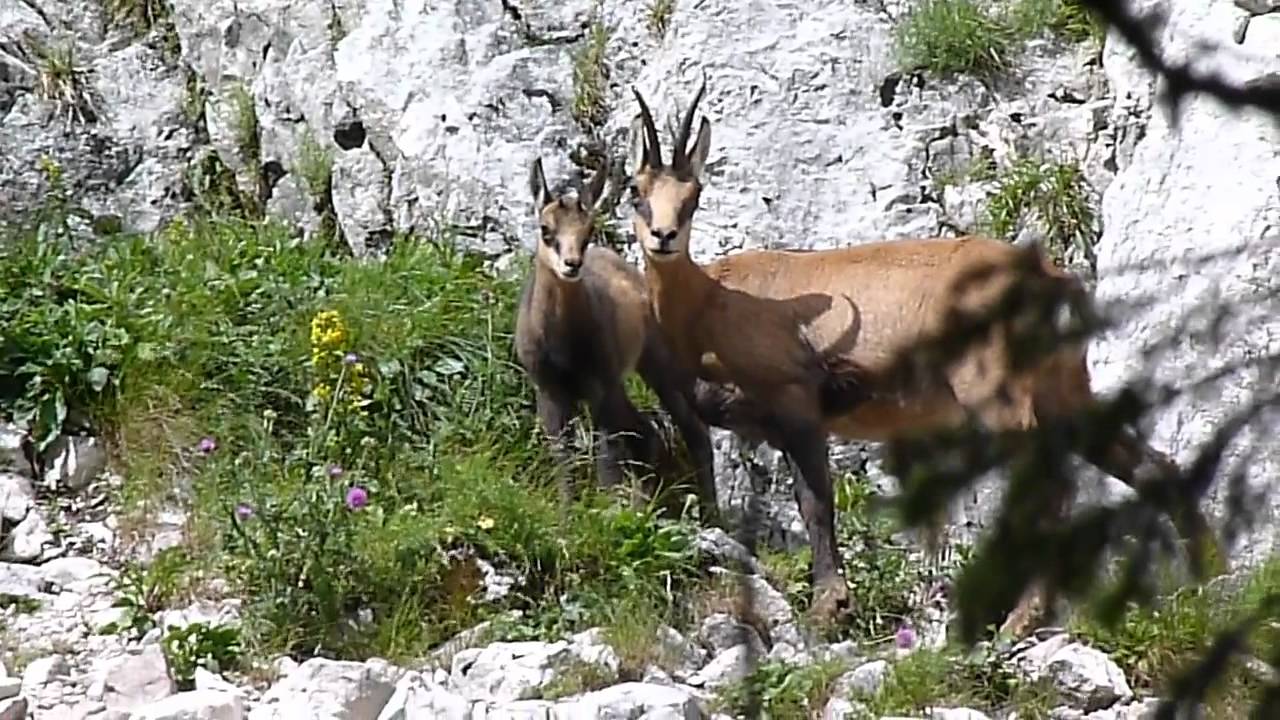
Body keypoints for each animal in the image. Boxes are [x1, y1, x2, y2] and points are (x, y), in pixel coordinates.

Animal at [513, 156, 718, 521]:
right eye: (545, 229)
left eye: (588, 230)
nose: (572, 264)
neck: (562, 340)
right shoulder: (549, 389)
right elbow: (563, 455)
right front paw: (566, 514)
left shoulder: (599, 388)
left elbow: (606, 453)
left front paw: (605, 510)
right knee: (645, 431)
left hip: (656, 363)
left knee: (692, 429)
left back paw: (710, 513)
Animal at [624, 79, 1219, 634]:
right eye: (636, 190)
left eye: (694, 192)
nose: (663, 236)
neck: (712, 300)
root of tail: (1052, 280)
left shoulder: (797, 402)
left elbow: (816, 504)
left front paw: (828, 606)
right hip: (1064, 390)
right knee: (1150, 466)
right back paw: (1210, 581)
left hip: (997, 397)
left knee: (1052, 489)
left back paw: (1020, 621)